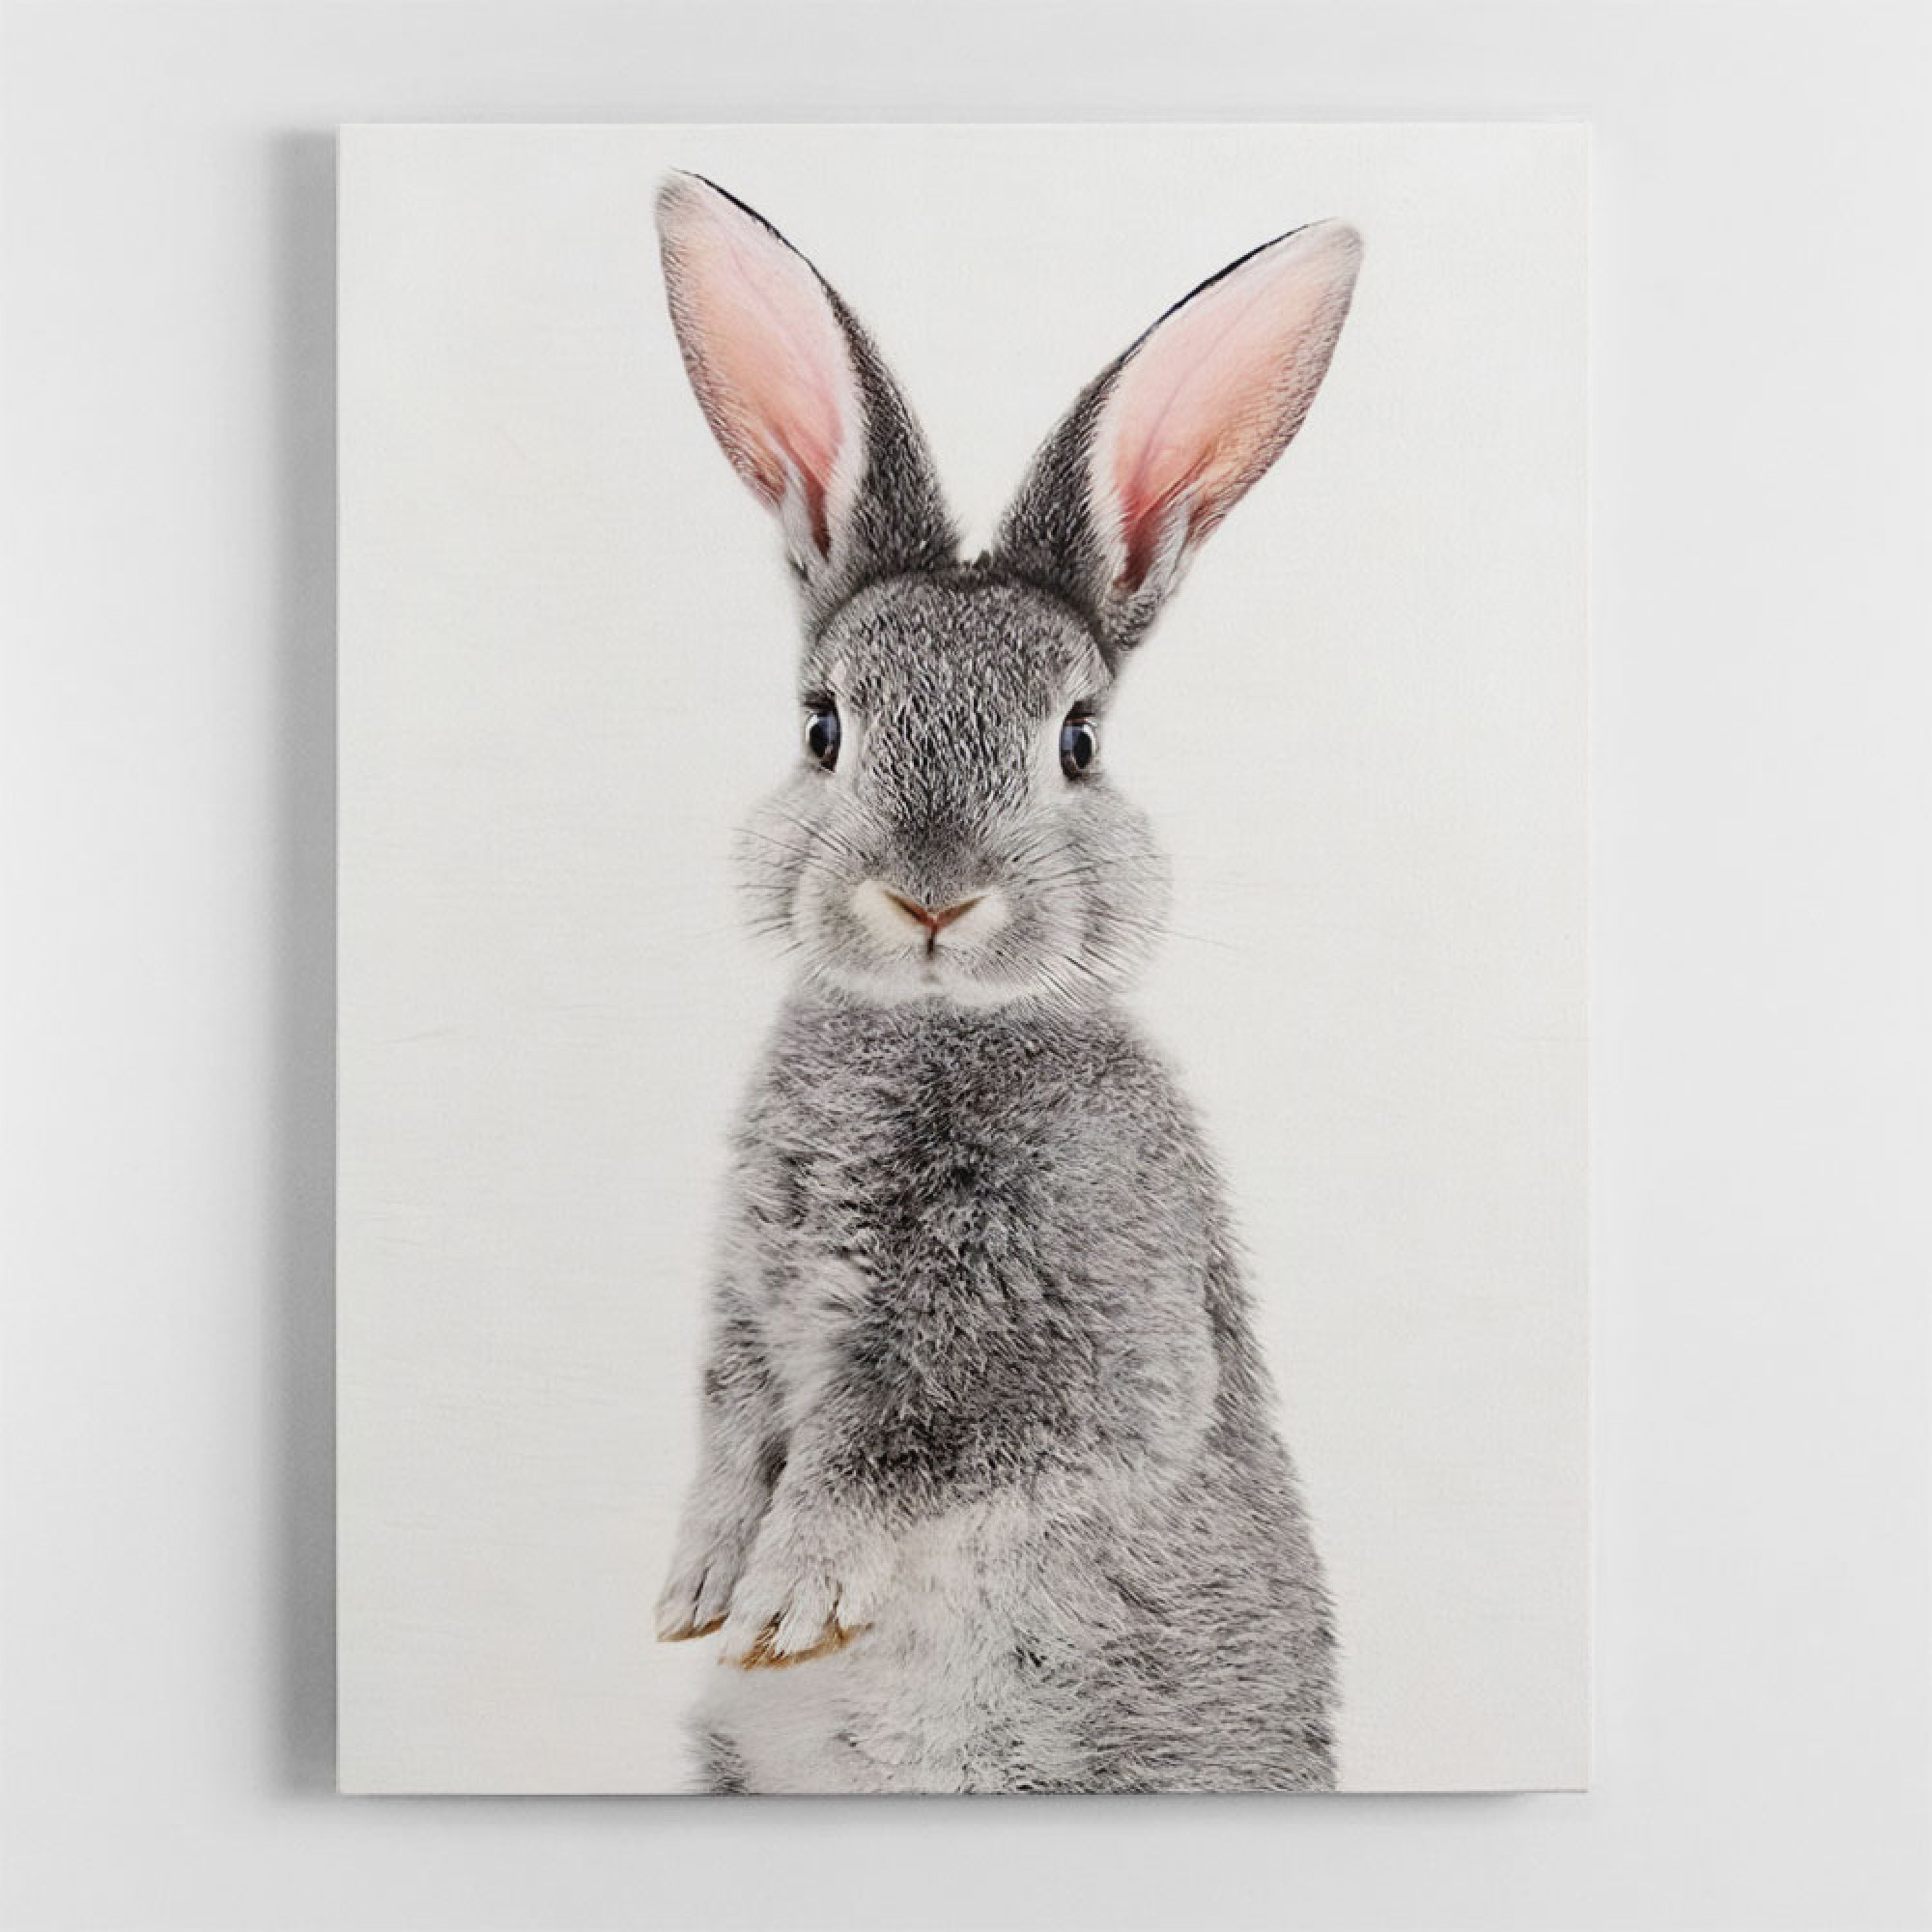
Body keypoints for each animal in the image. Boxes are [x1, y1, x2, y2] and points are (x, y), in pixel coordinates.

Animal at [650, 172, 1362, 1793]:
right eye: (823, 727)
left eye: (1079, 742)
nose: (931, 893)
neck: (923, 1029)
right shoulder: (745, 1306)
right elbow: (732, 1422)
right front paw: (701, 1583)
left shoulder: (1083, 1348)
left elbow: (904, 1451)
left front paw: (786, 1591)